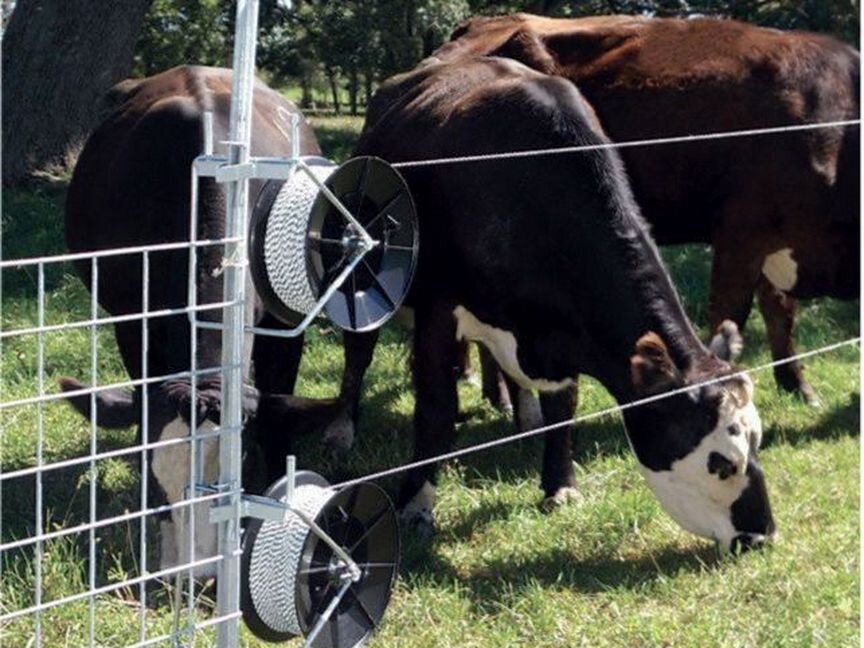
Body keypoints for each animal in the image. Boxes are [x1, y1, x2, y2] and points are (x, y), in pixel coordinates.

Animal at [61, 67, 340, 576]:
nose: (202, 571)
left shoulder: (286, 323)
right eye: (155, 481)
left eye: (240, 468)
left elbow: (278, 411)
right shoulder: (131, 320)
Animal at [350, 57, 776, 552]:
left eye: (758, 441)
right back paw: (344, 428)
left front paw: (559, 484)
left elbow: (563, 409)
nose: (762, 535)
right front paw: (416, 505)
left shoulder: (565, 331)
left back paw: (521, 415)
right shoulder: (440, 308)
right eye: (722, 462)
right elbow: (435, 413)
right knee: (358, 355)